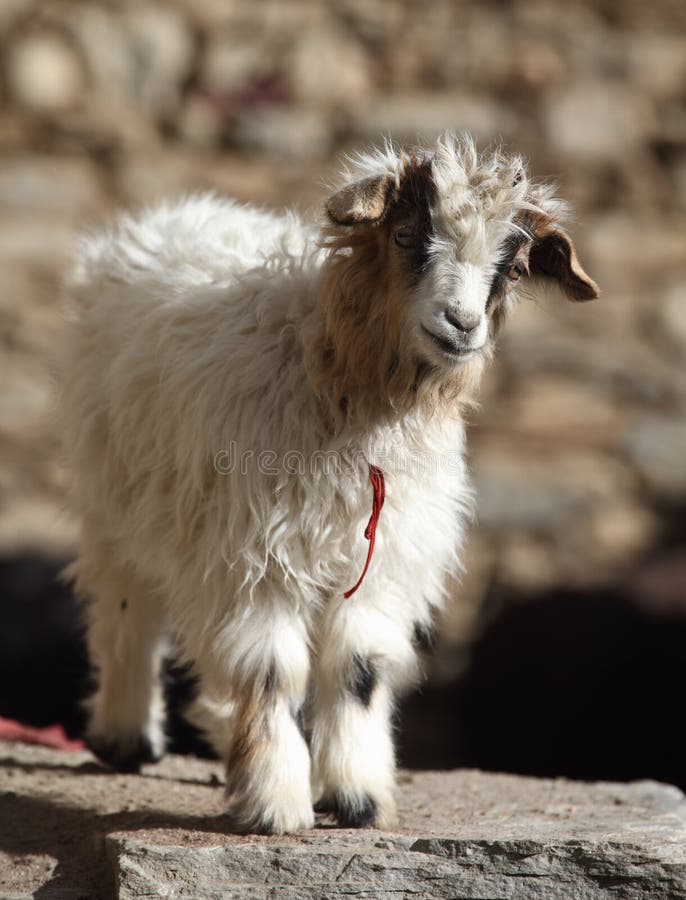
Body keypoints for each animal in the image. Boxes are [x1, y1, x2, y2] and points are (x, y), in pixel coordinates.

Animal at [59, 134, 598, 834]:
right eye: (405, 235)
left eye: (511, 266)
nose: (461, 324)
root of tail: (174, 214)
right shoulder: (257, 555)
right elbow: (271, 672)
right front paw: (275, 806)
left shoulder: (382, 558)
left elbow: (357, 670)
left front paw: (356, 798)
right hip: (117, 491)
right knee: (127, 605)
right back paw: (126, 735)